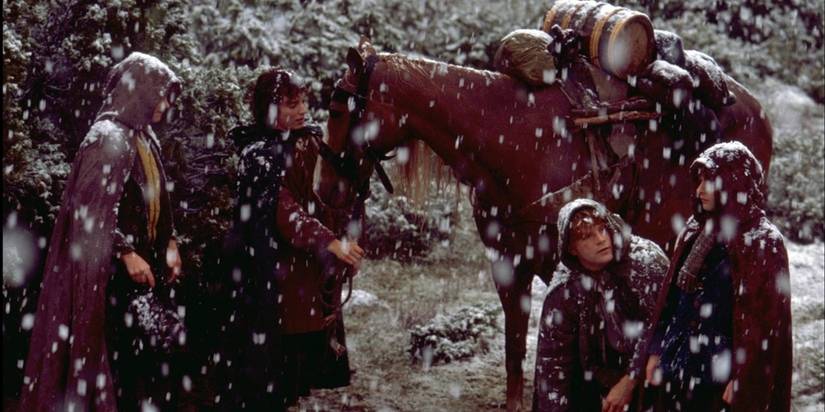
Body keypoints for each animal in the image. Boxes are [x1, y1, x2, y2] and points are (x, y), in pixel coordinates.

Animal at [320, 39, 773, 411]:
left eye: (340, 107)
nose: (325, 189)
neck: (517, 140)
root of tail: (757, 107)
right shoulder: (507, 265)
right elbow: (515, 350)